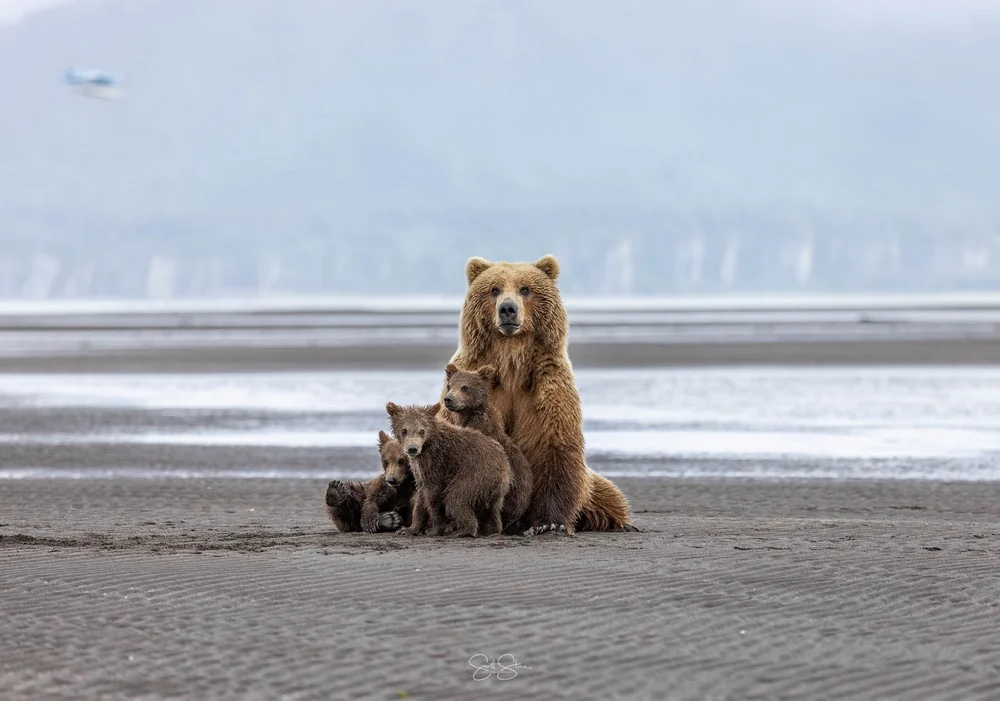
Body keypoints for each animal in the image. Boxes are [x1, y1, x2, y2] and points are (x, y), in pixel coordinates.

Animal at [386, 401, 511, 538]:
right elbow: (421, 495)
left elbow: (433, 494)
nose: (412, 448)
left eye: (421, 431)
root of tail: (504, 464)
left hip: (476, 475)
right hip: (495, 491)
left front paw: (434, 529)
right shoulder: (418, 466)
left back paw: (463, 530)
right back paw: (492, 530)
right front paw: (408, 529)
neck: (427, 443)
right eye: (404, 430)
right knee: (493, 510)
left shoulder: (435, 460)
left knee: (455, 499)